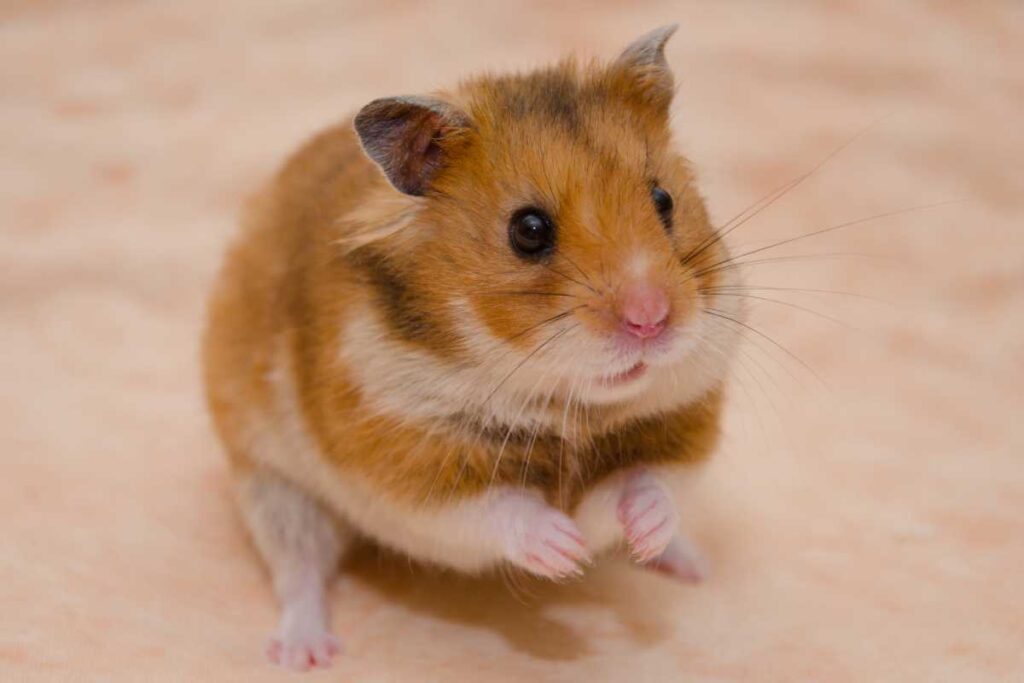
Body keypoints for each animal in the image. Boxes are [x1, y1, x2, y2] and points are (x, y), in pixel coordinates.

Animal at [203, 24, 742, 671]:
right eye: (528, 230)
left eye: (664, 201)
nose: (651, 320)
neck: (567, 407)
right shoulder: (405, 465)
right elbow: (500, 508)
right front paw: (566, 551)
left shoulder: (681, 426)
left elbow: (645, 483)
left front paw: (635, 531)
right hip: (273, 486)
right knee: (298, 571)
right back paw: (304, 654)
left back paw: (691, 564)